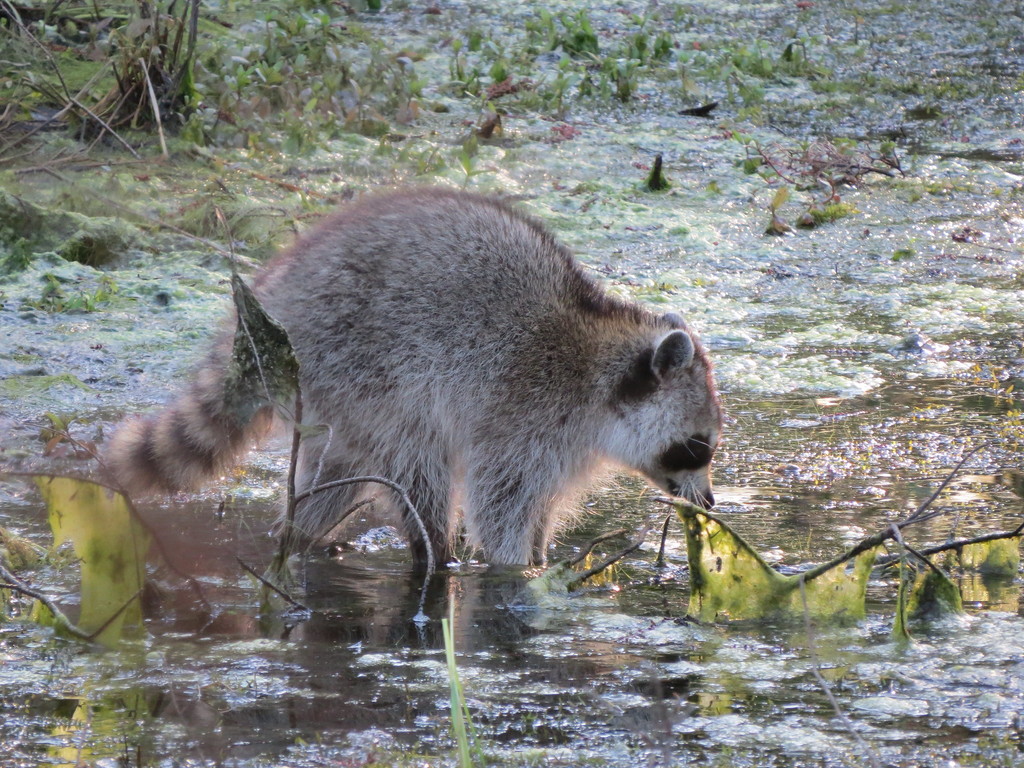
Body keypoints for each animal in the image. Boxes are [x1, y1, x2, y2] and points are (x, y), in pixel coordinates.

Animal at [106, 189, 722, 567]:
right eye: (697, 447)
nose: (711, 502)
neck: (599, 362)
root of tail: (275, 294)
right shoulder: (523, 415)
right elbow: (500, 504)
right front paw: (515, 571)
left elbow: (542, 508)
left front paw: (542, 555)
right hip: (360, 365)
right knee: (417, 463)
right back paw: (436, 556)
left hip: (335, 398)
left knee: (336, 475)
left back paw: (299, 537)